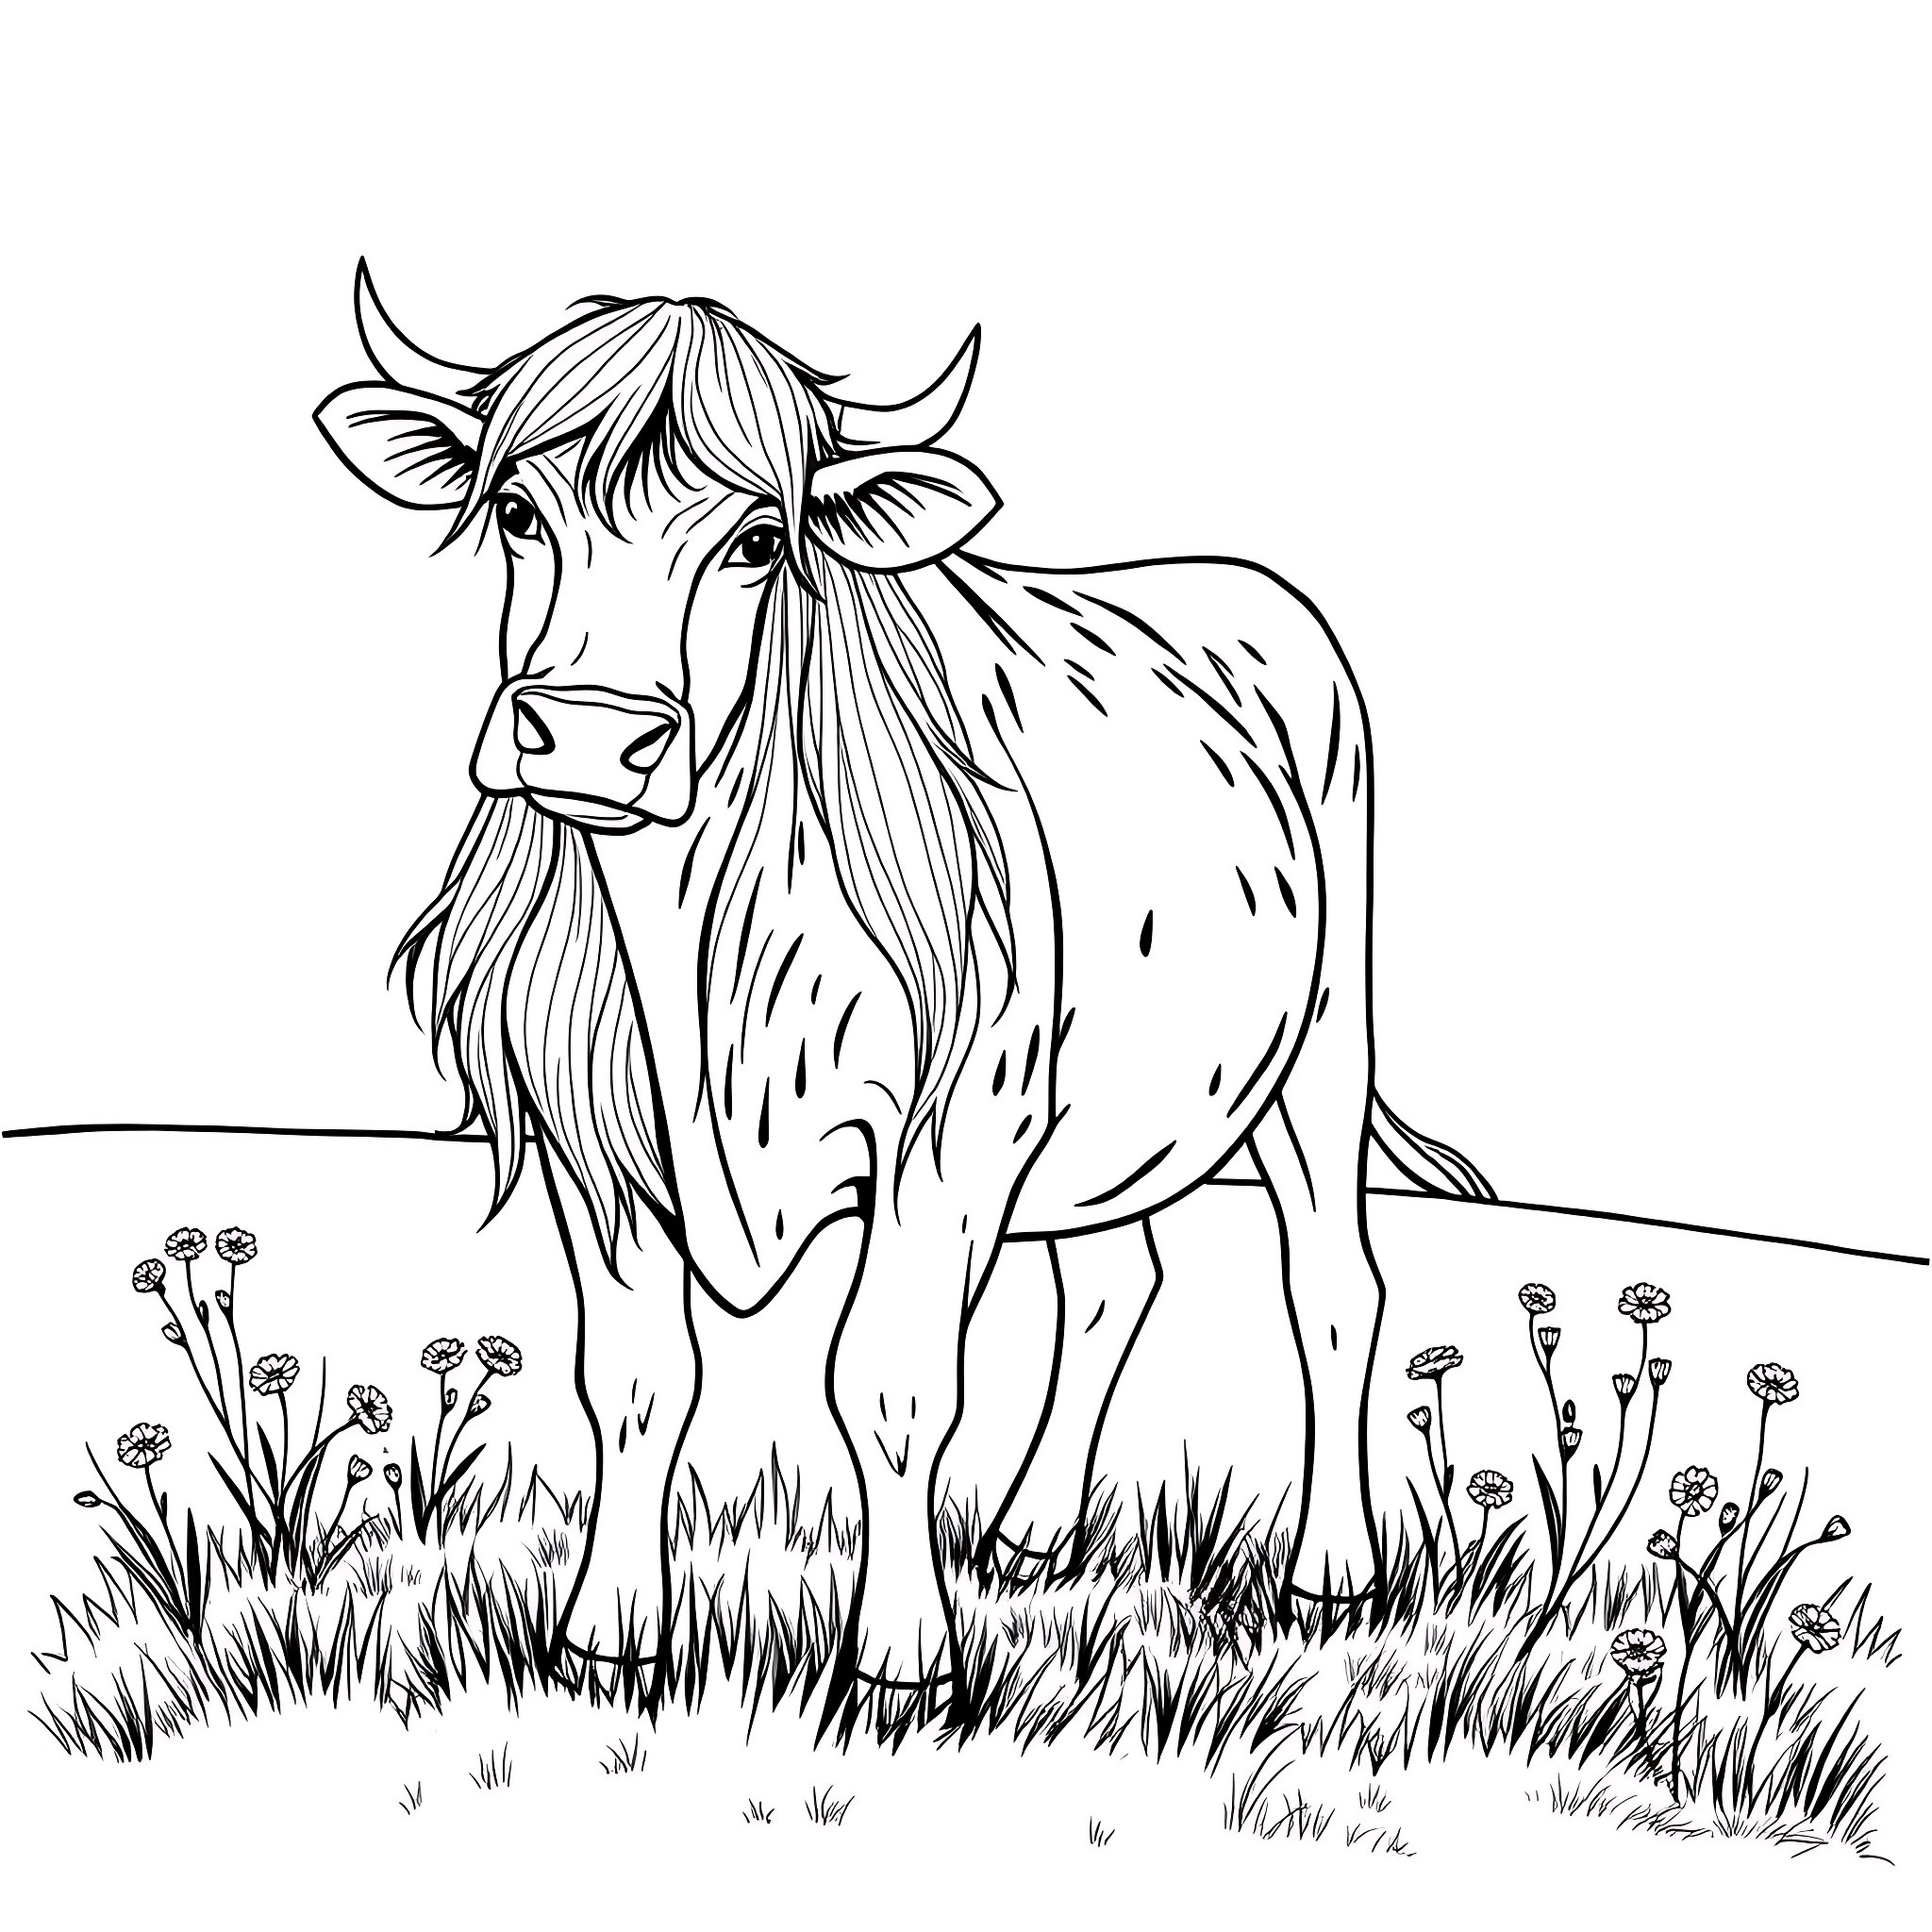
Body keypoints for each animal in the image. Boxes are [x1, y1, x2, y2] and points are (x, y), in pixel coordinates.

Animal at [315, 266, 1492, 1702]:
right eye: (517, 513)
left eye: (759, 541)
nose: (590, 736)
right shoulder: (595, 1148)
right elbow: (637, 1381)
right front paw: (608, 1633)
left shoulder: (950, 1139)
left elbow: (892, 1387)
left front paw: (901, 1659)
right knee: (1113, 1285)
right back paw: (1033, 1538)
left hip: (1319, 1049)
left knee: (1332, 1290)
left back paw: (1331, 1571)